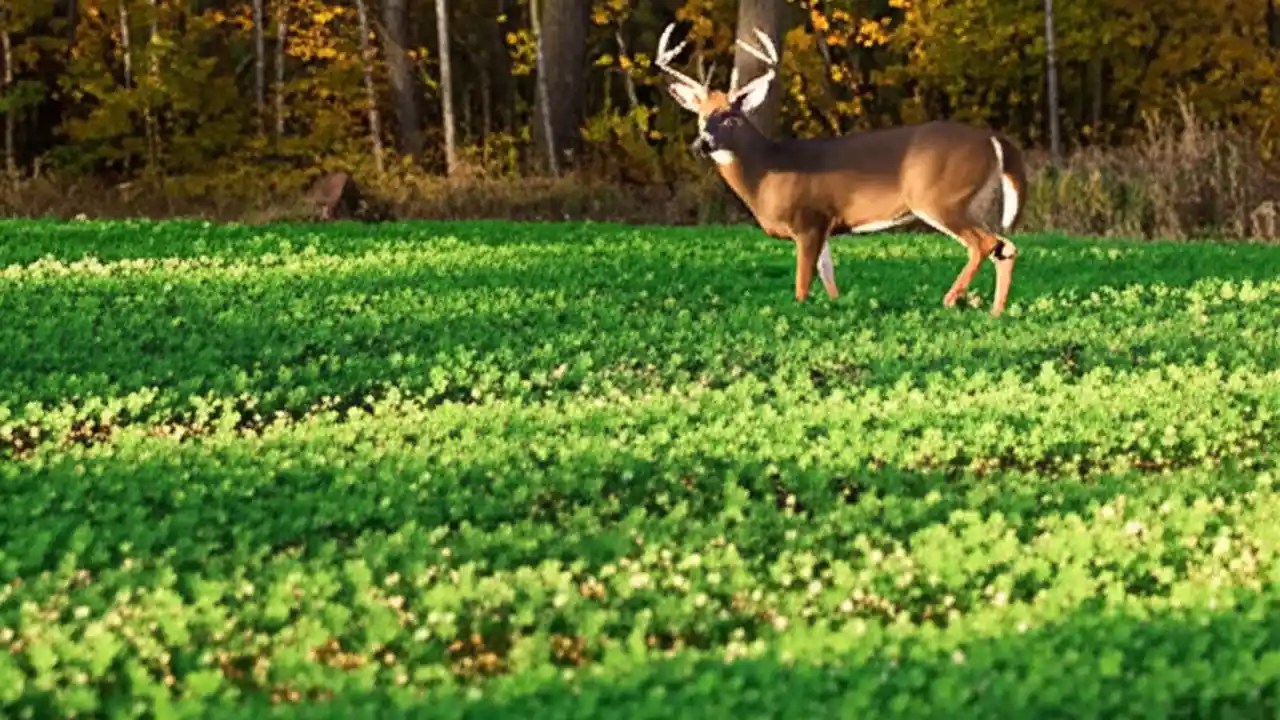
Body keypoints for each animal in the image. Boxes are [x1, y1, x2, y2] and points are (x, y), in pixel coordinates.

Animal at [654, 23, 1029, 317]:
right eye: (701, 117)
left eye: (731, 117)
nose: (702, 144)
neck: (766, 173)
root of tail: (992, 138)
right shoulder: (825, 224)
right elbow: (828, 276)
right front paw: (835, 306)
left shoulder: (809, 219)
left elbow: (803, 284)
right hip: (977, 201)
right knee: (1005, 247)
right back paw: (995, 312)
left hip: (941, 197)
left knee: (983, 244)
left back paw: (950, 300)